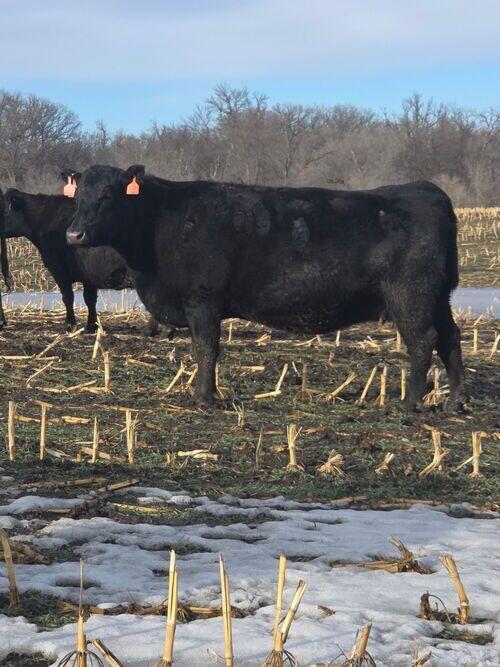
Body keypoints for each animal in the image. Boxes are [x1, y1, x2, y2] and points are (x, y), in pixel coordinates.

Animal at [4, 186, 160, 334]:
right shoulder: (89, 275)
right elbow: (89, 300)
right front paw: (92, 326)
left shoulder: (60, 271)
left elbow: (68, 297)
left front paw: (70, 325)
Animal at [66, 164, 466, 411]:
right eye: (77, 197)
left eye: (108, 196)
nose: (74, 234)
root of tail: (424, 189)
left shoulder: (202, 299)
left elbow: (206, 349)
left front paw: (205, 398)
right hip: (438, 297)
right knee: (450, 338)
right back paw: (456, 401)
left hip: (410, 295)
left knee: (423, 340)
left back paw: (411, 402)